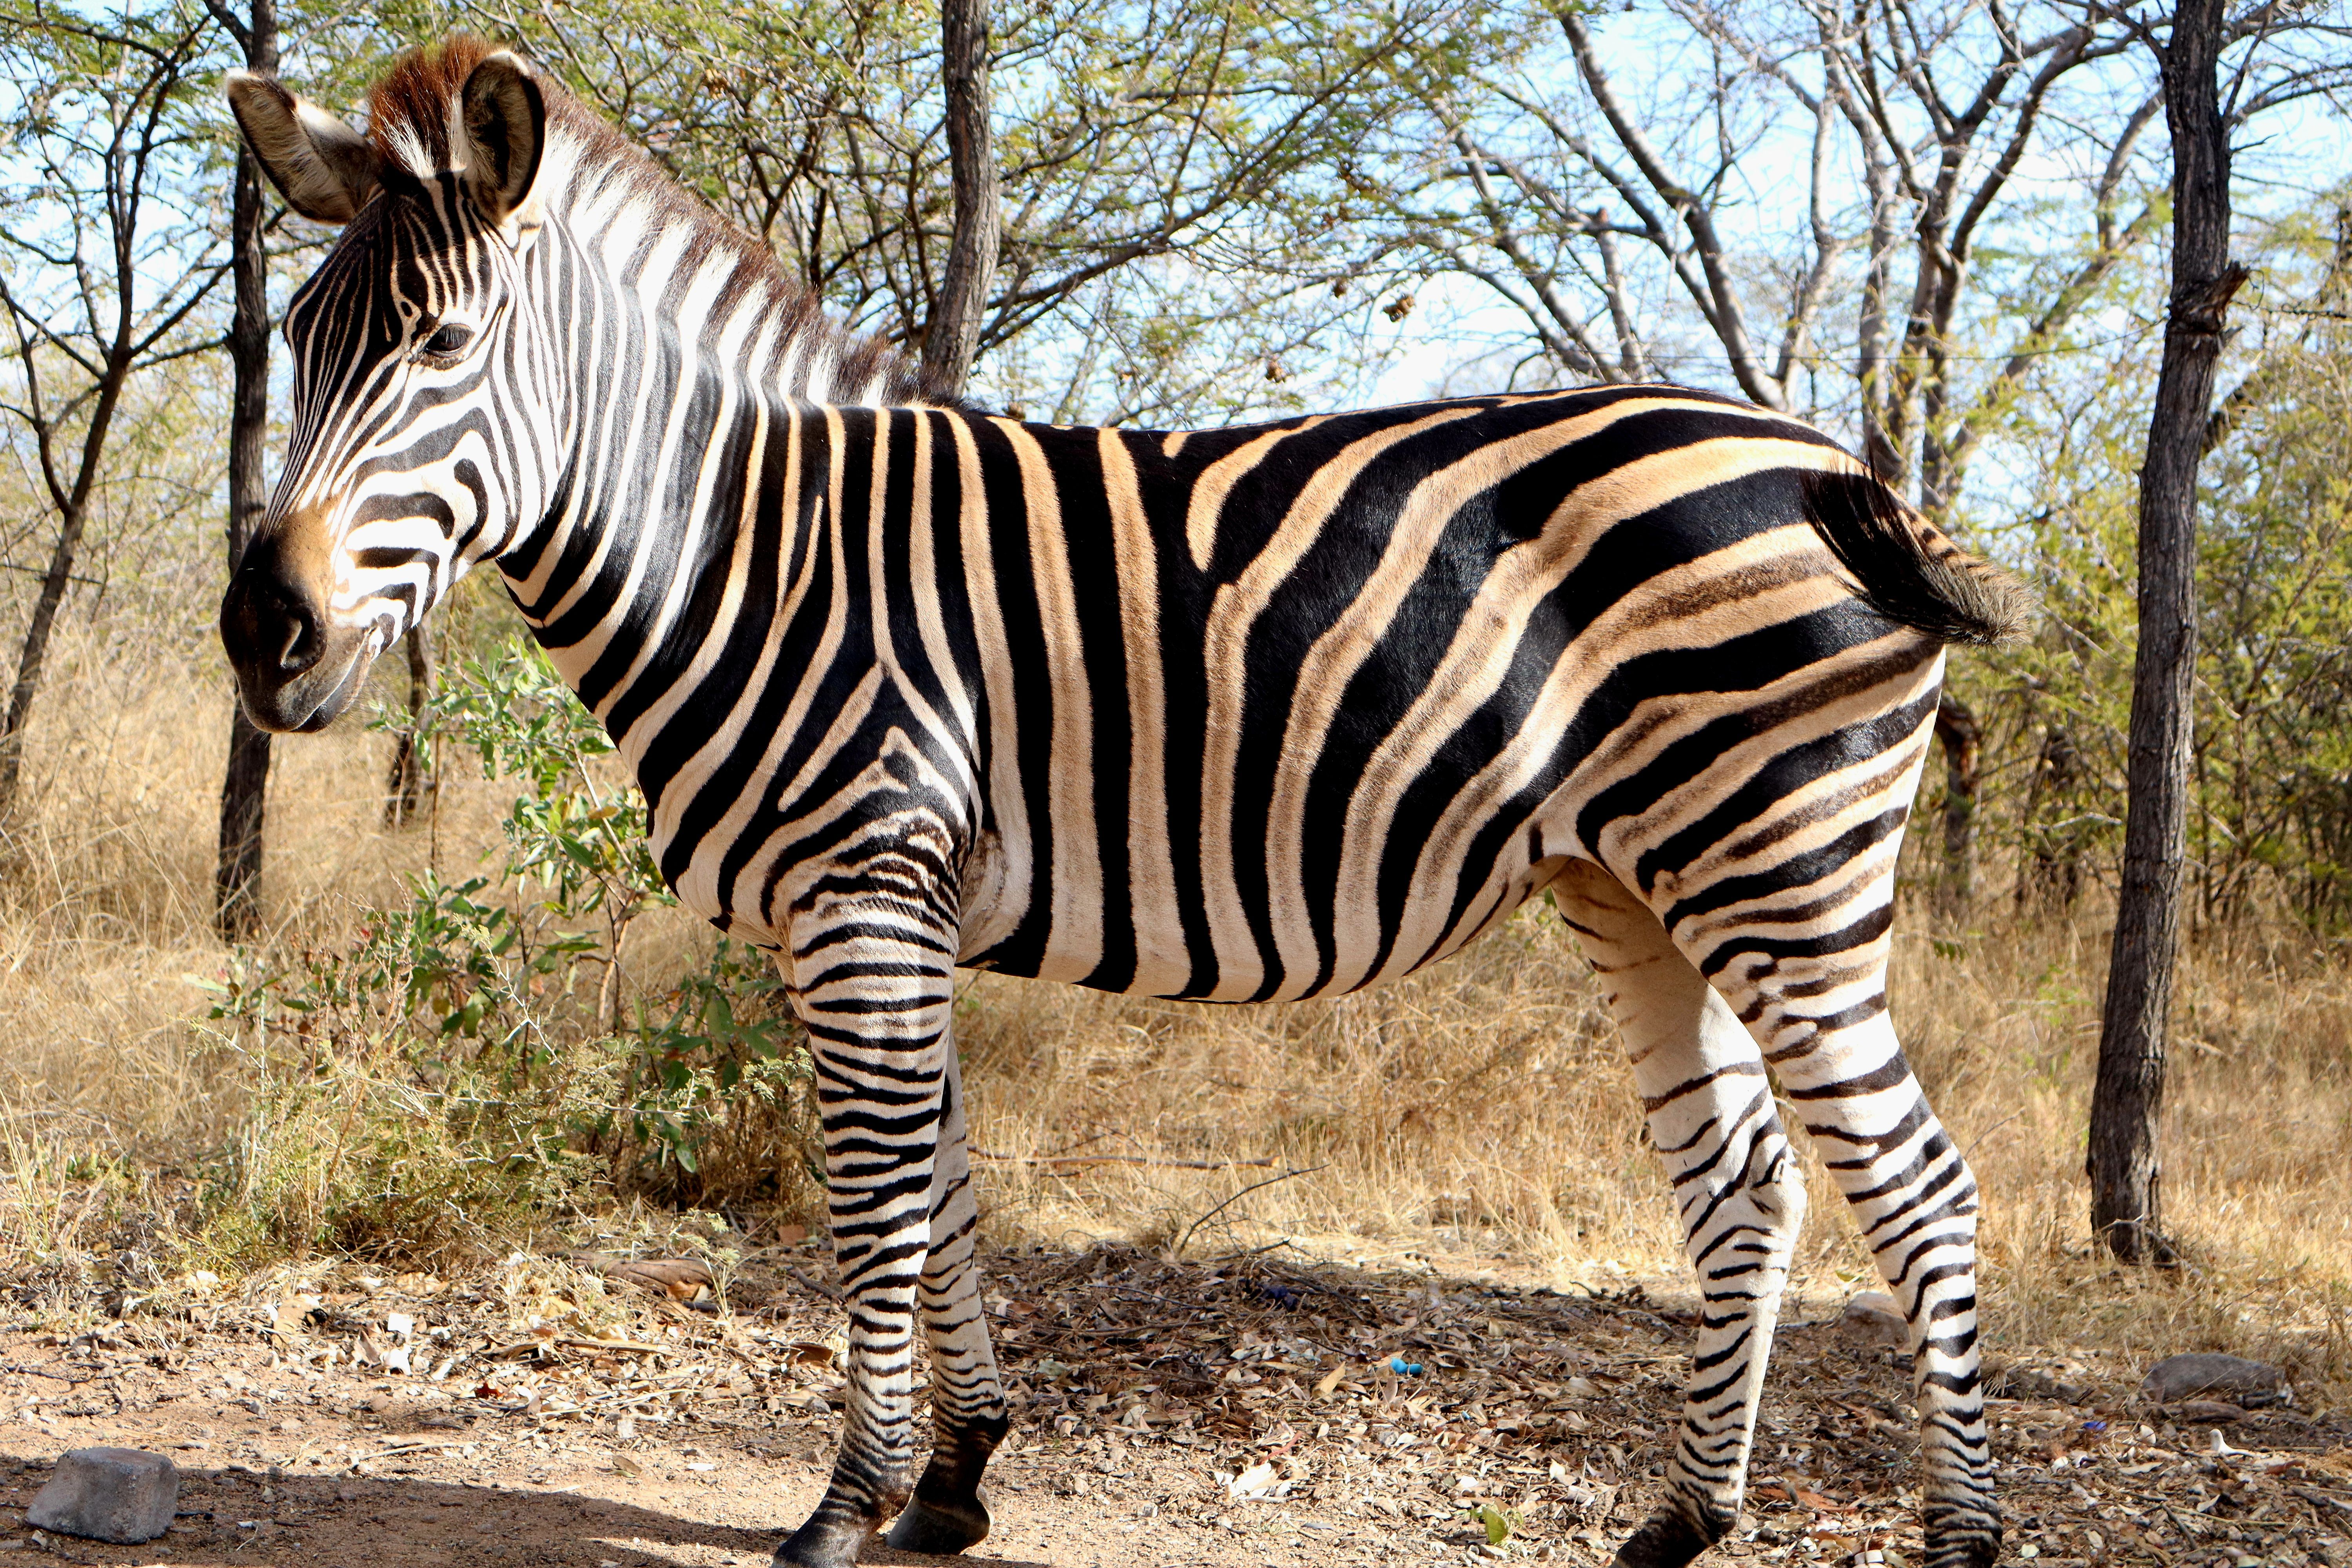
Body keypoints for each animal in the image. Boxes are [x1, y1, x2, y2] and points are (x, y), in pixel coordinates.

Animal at [221, 40, 2022, 1568]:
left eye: (441, 348)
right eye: (298, 342)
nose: (262, 632)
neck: (756, 551)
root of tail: (1830, 462)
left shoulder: (861, 890)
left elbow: (872, 1195)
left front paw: (847, 1499)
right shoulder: (901, 907)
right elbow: (940, 1183)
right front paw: (954, 1476)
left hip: (1779, 872)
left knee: (1921, 1187)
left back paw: (1957, 1535)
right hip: (1635, 883)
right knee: (1749, 1189)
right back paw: (1681, 1519)